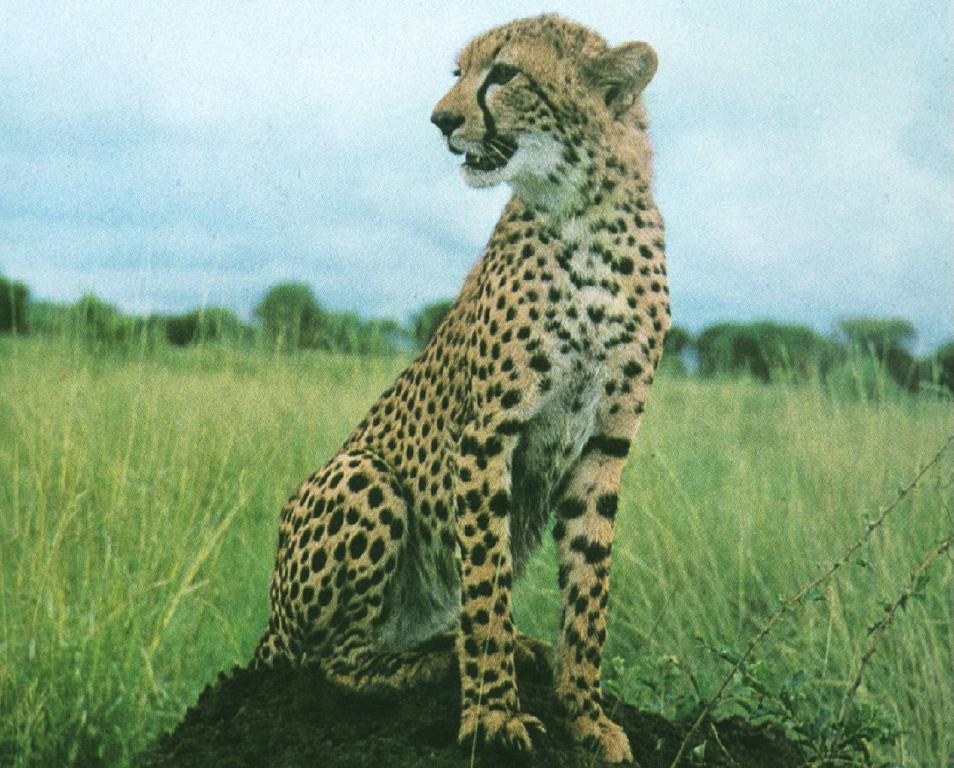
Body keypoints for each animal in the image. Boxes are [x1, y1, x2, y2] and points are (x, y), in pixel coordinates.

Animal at [253, 14, 669, 764]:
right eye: (458, 73)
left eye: (504, 74)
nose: (440, 119)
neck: (587, 216)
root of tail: (270, 625)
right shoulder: (485, 435)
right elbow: (484, 583)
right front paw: (494, 715)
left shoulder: (606, 445)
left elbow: (588, 590)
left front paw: (586, 715)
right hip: (363, 475)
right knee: (334, 661)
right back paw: (431, 663)